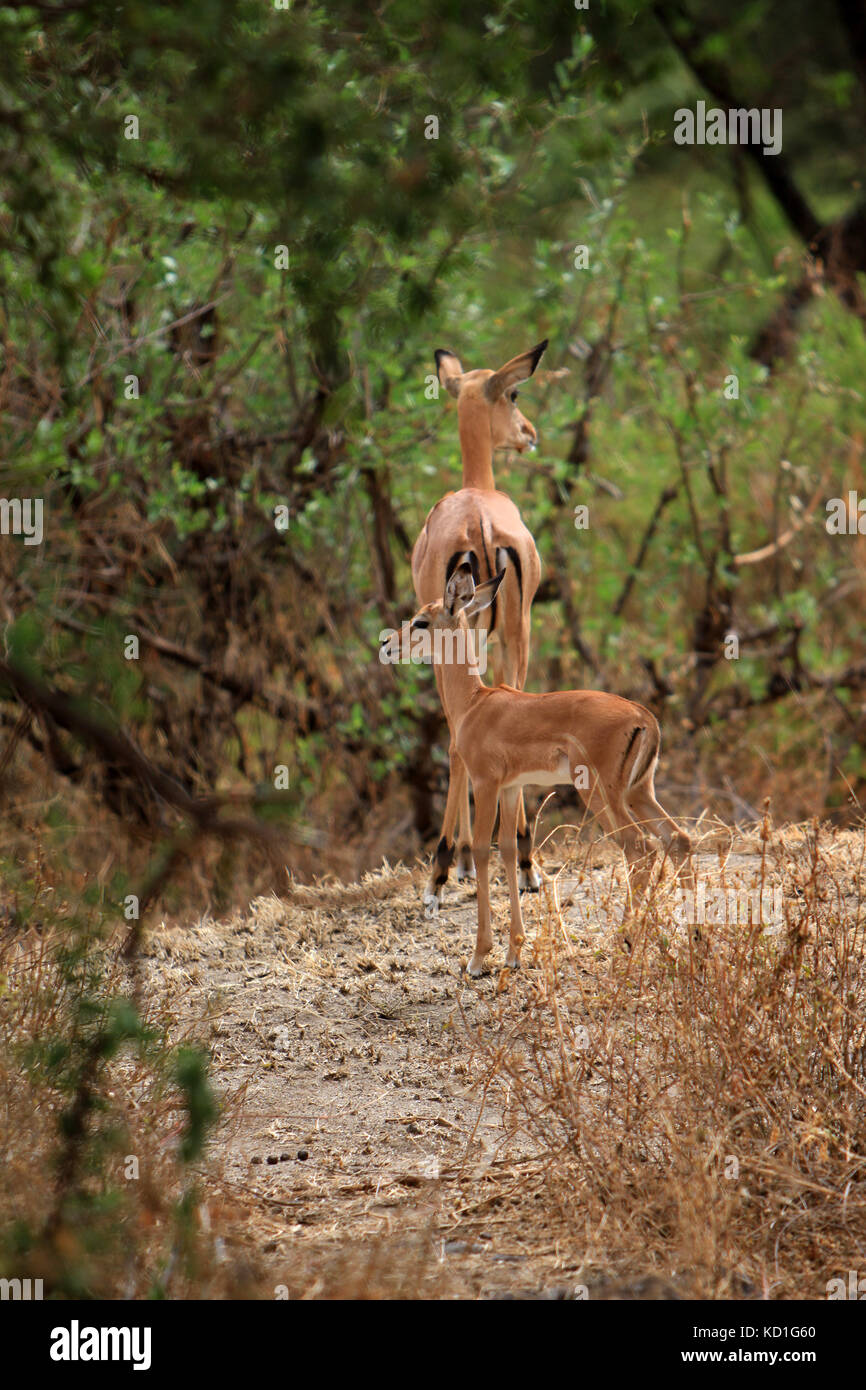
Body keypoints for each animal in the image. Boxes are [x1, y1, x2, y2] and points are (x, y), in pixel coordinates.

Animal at [387, 565, 692, 977]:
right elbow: (509, 851)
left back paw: (625, 944)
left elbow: (482, 851)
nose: (389, 645)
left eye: (421, 620)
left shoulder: (485, 783)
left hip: (601, 794)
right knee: (678, 838)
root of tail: (644, 716)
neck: (474, 704)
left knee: (641, 849)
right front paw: (514, 953)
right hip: (639, 792)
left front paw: (479, 958)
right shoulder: (511, 788)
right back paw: (692, 936)